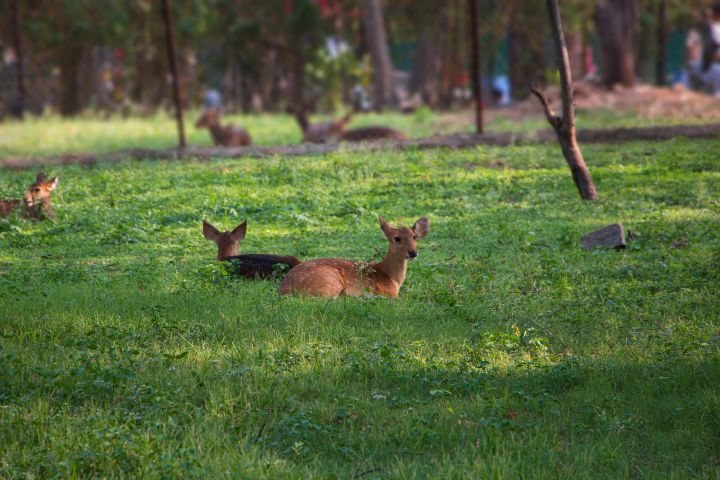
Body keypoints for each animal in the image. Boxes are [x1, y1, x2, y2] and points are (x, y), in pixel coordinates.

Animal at [279, 216, 429, 298]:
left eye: (414, 237)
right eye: (397, 238)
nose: (413, 252)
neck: (392, 278)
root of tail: (284, 288)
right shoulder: (388, 293)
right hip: (328, 281)